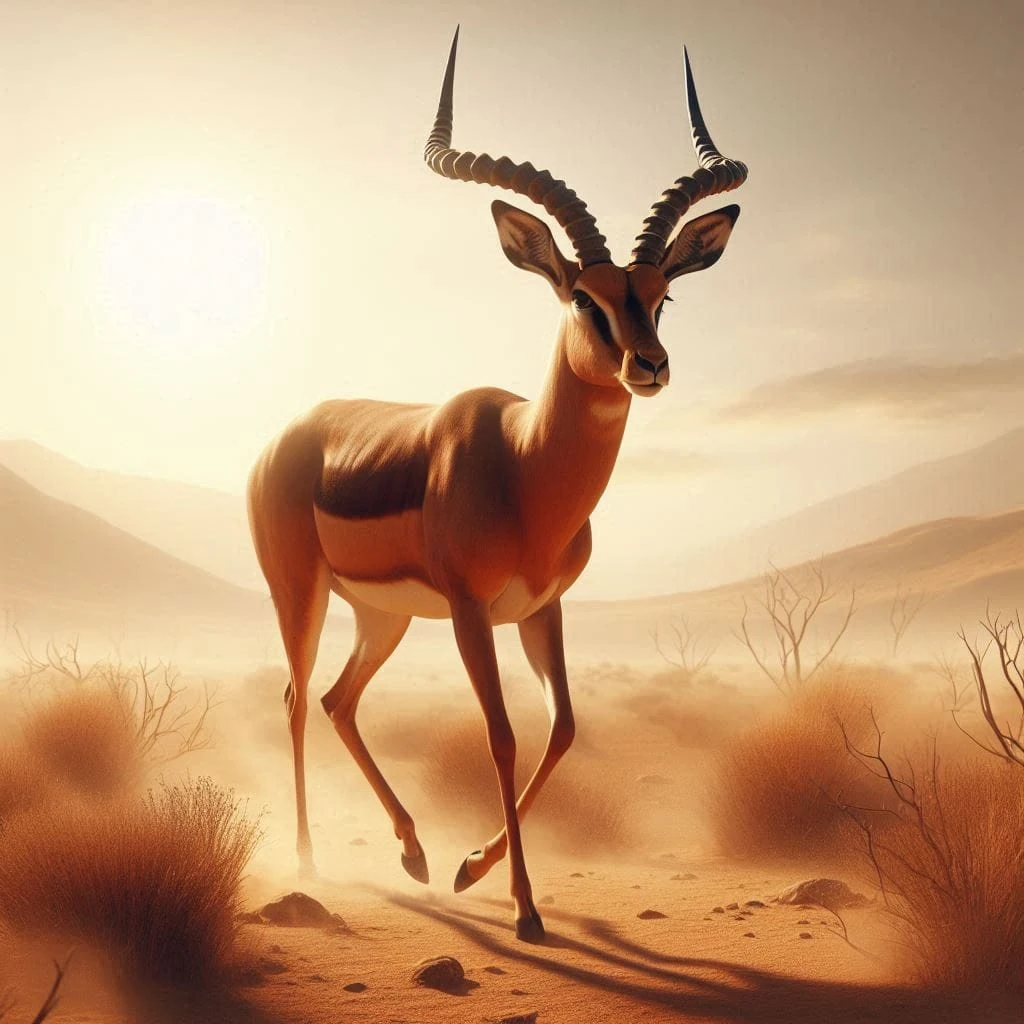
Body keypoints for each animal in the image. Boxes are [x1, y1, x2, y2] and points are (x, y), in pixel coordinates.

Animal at [248, 28, 747, 942]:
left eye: (662, 296)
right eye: (582, 298)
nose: (649, 365)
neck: (522, 468)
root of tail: (287, 435)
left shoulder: (540, 608)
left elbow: (565, 727)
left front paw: (468, 868)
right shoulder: (472, 610)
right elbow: (504, 734)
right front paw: (523, 907)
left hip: (382, 615)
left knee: (338, 699)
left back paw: (413, 853)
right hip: (299, 590)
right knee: (298, 697)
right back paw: (308, 862)